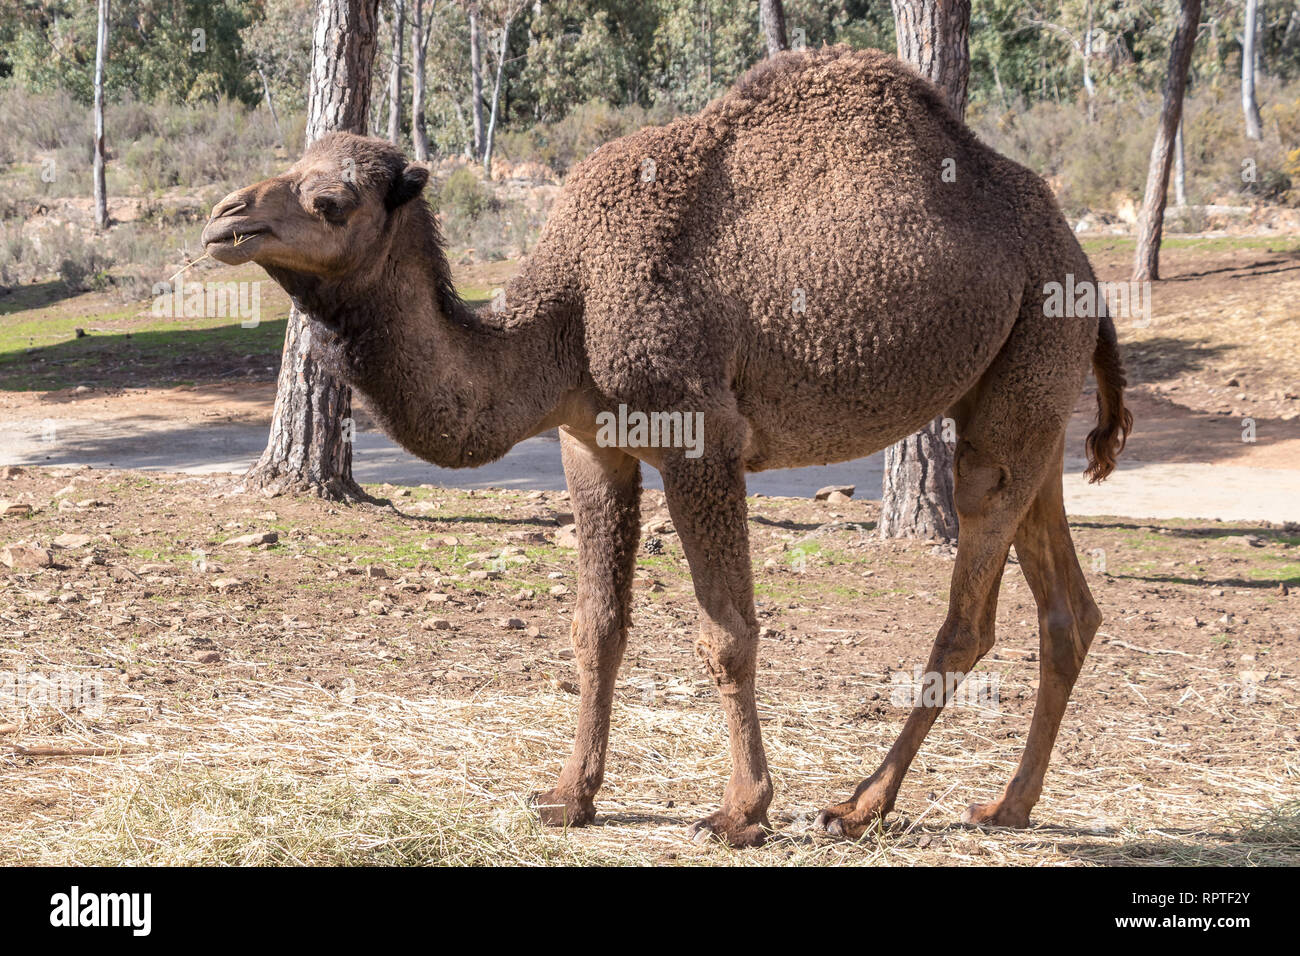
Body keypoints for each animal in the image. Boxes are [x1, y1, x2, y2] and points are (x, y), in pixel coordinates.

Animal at [202, 45, 1131, 848]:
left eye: (332, 202)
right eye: (295, 167)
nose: (224, 220)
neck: (569, 310)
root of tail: (1083, 266)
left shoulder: (699, 438)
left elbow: (726, 634)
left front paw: (741, 813)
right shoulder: (590, 445)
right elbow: (597, 627)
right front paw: (569, 797)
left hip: (1024, 366)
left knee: (970, 614)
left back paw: (860, 806)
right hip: (1025, 397)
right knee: (1067, 607)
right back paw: (1007, 805)